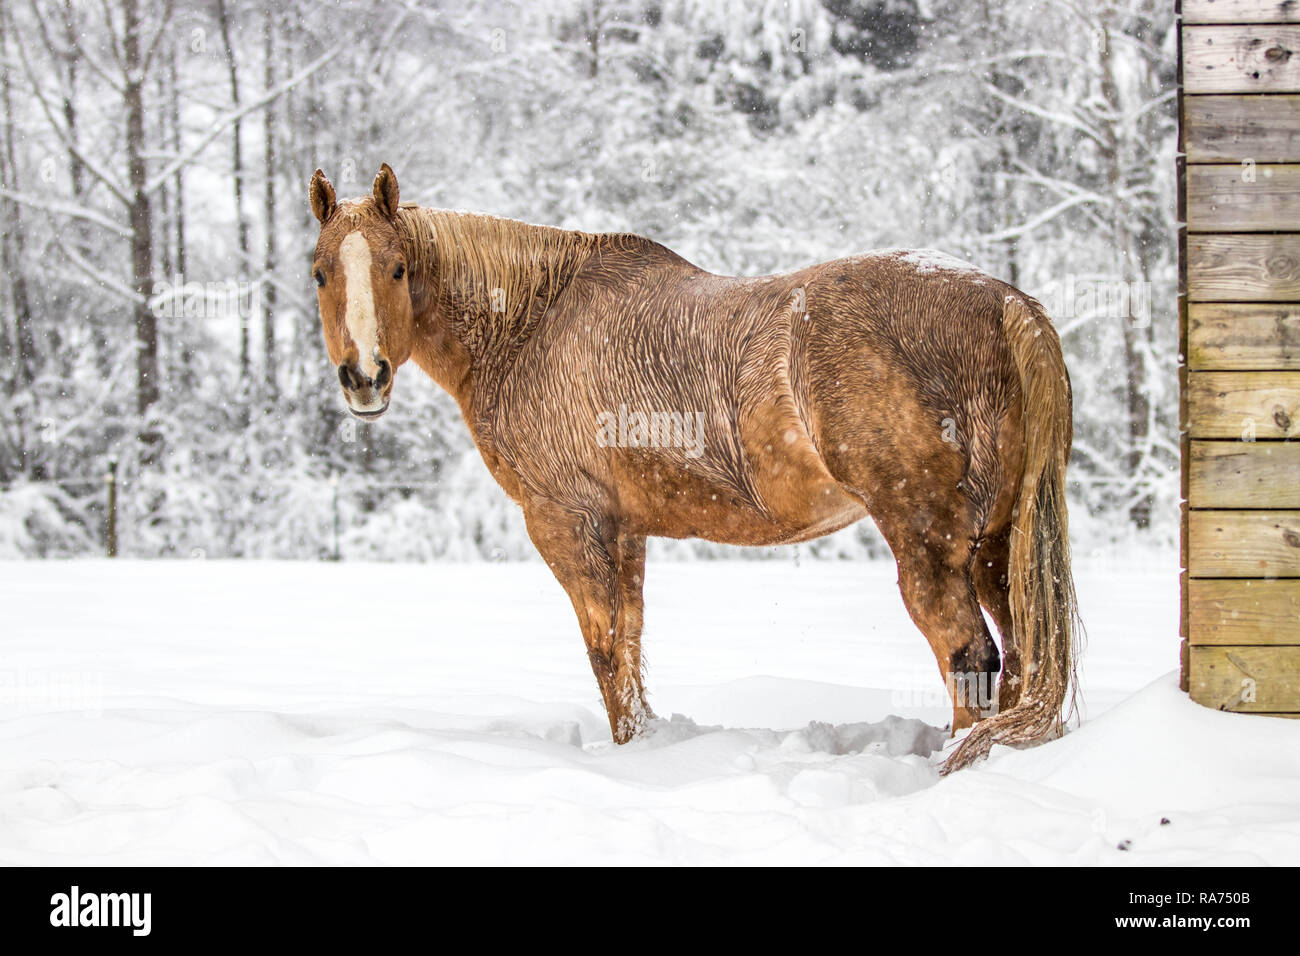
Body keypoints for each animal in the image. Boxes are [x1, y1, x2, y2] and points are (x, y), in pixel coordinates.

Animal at [307, 163, 1081, 772]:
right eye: (320, 272)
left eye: (397, 269)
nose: (364, 378)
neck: (533, 325)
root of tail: (1003, 300)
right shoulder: (623, 533)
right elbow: (629, 647)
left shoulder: (566, 525)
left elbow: (604, 652)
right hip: (997, 545)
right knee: (1019, 656)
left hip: (927, 542)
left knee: (968, 656)